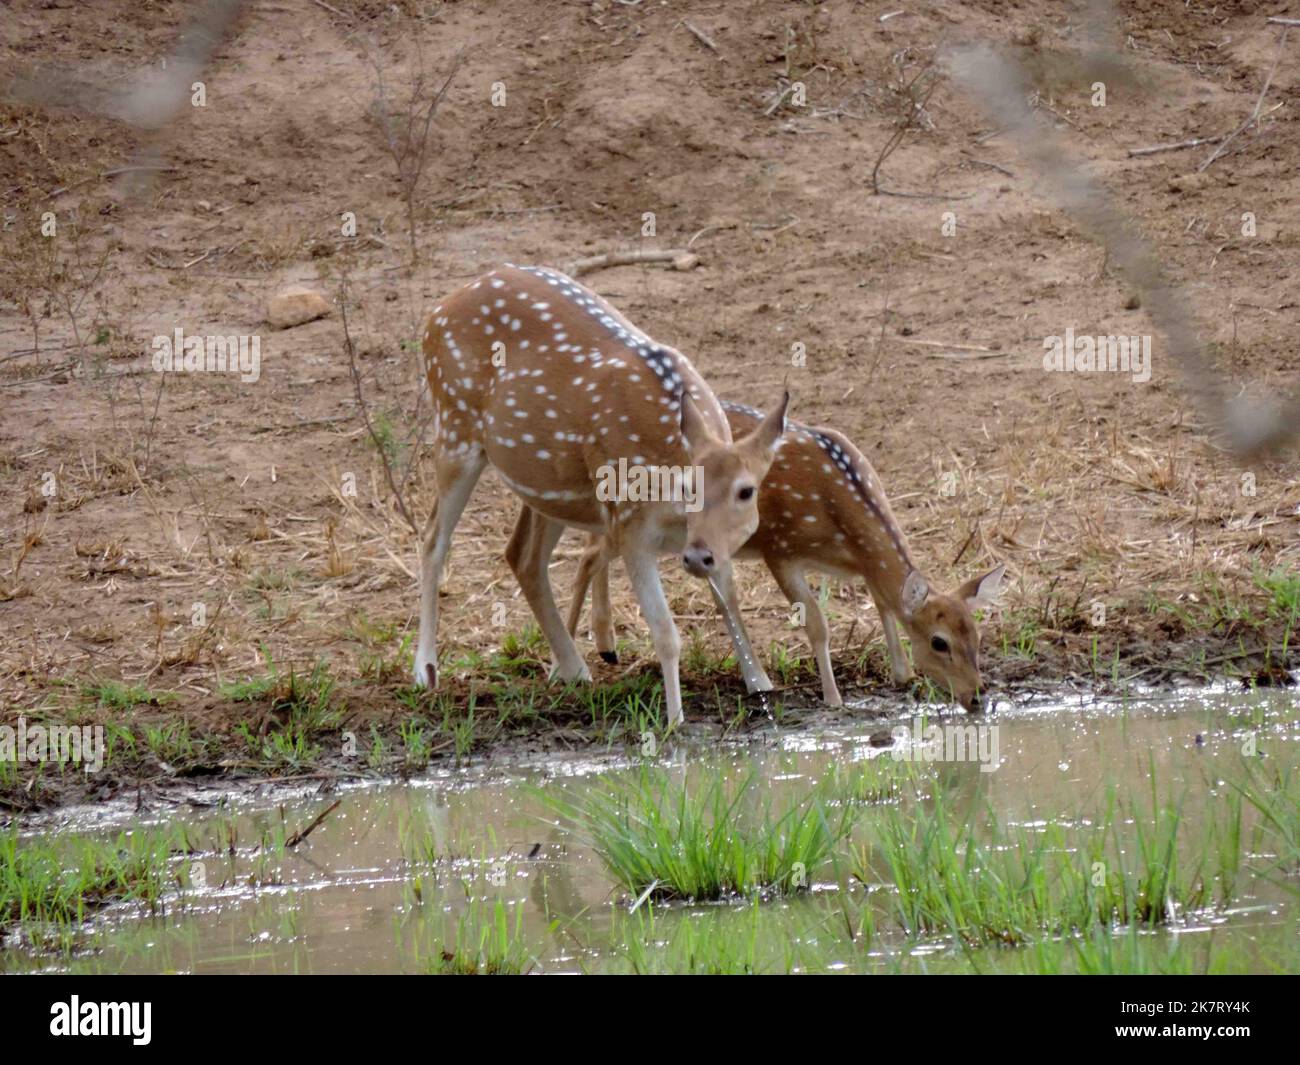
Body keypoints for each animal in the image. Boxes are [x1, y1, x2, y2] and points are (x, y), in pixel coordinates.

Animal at [413, 264, 790, 727]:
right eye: (690, 486)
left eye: (746, 491)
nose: (697, 557)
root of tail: (436, 312)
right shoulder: (629, 524)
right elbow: (666, 631)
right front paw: (675, 719)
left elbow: (730, 602)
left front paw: (761, 685)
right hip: (455, 427)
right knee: (434, 538)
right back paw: (425, 669)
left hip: (544, 480)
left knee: (522, 554)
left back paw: (573, 668)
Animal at [545, 400, 1005, 712]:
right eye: (940, 642)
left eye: (978, 636)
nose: (977, 697)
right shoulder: (780, 548)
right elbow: (817, 624)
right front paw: (833, 697)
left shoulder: (860, 567)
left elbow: (884, 605)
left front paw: (902, 672)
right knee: (589, 553)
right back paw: (563, 666)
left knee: (593, 550)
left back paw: (604, 646)